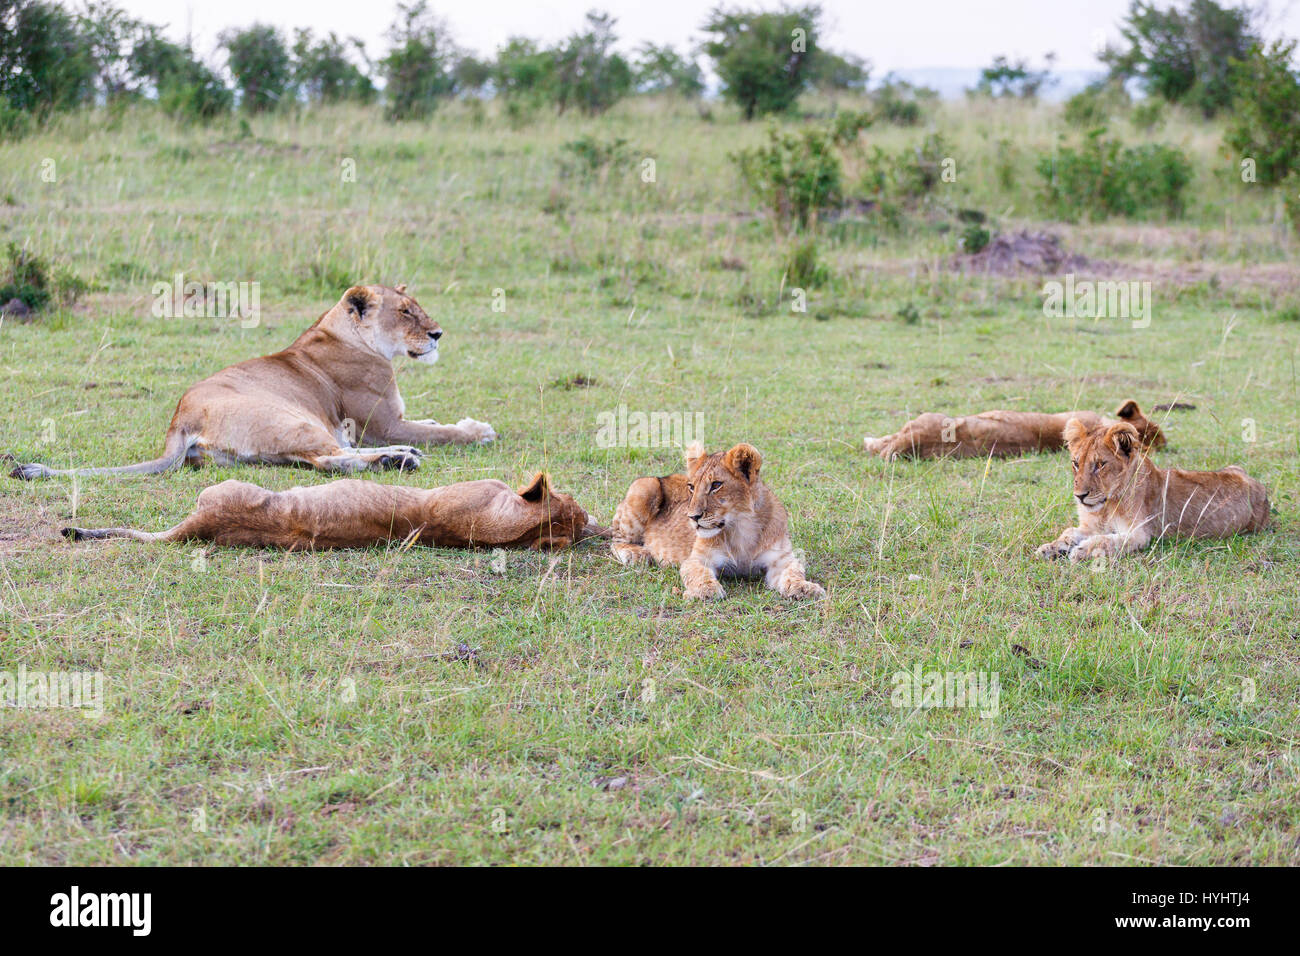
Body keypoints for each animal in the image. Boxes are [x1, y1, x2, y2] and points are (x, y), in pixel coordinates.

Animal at [10, 284, 496, 480]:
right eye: (406, 312)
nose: (437, 334)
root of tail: (180, 419)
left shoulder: (387, 422)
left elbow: (431, 424)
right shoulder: (380, 424)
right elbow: (445, 433)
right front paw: (479, 431)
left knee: (327, 456)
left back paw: (403, 456)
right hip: (293, 416)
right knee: (330, 458)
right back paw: (399, 459)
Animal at [610, 441, 824, 601]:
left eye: (716, 485)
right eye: (691, 487)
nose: (692, 517)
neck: (742, 527)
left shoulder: (780, 559)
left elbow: (794, 572)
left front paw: (805, 588)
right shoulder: (696, 559)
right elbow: (698, 574)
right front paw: (706, 591)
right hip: (645, 486)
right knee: (615, 540)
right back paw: (636, 554)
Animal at [1035, 418, 1269, 563]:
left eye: (1100, 465)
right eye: (1076, 463)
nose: (1080, 496)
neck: (1107, 505)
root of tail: (1257, 485)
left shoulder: (1140, 534)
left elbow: (1106, 541)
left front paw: (1081, 550)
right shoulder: (1091, 526)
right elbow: (1068, 533)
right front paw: (1049, 548)